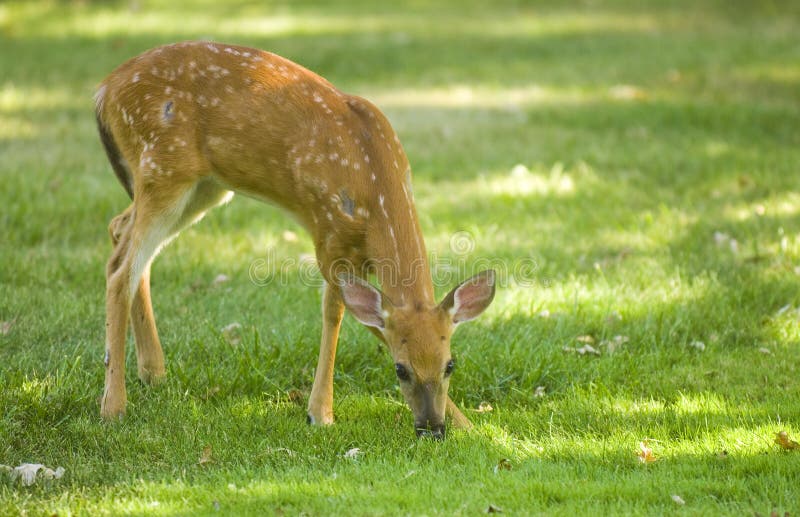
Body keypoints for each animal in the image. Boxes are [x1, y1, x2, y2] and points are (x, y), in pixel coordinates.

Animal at [94, 41, 496, 439]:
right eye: (401, 369)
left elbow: (372, 319)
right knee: (121, 269)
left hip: (202, 187)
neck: (375, 183)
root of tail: (104, 90)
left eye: (450, 365)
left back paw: (153, 372)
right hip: (162, 169)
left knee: (123, 236)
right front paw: (320, 413)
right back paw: (113, 406)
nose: (432, 428)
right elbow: (338, 313)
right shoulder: (328, 236)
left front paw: (467, 424)